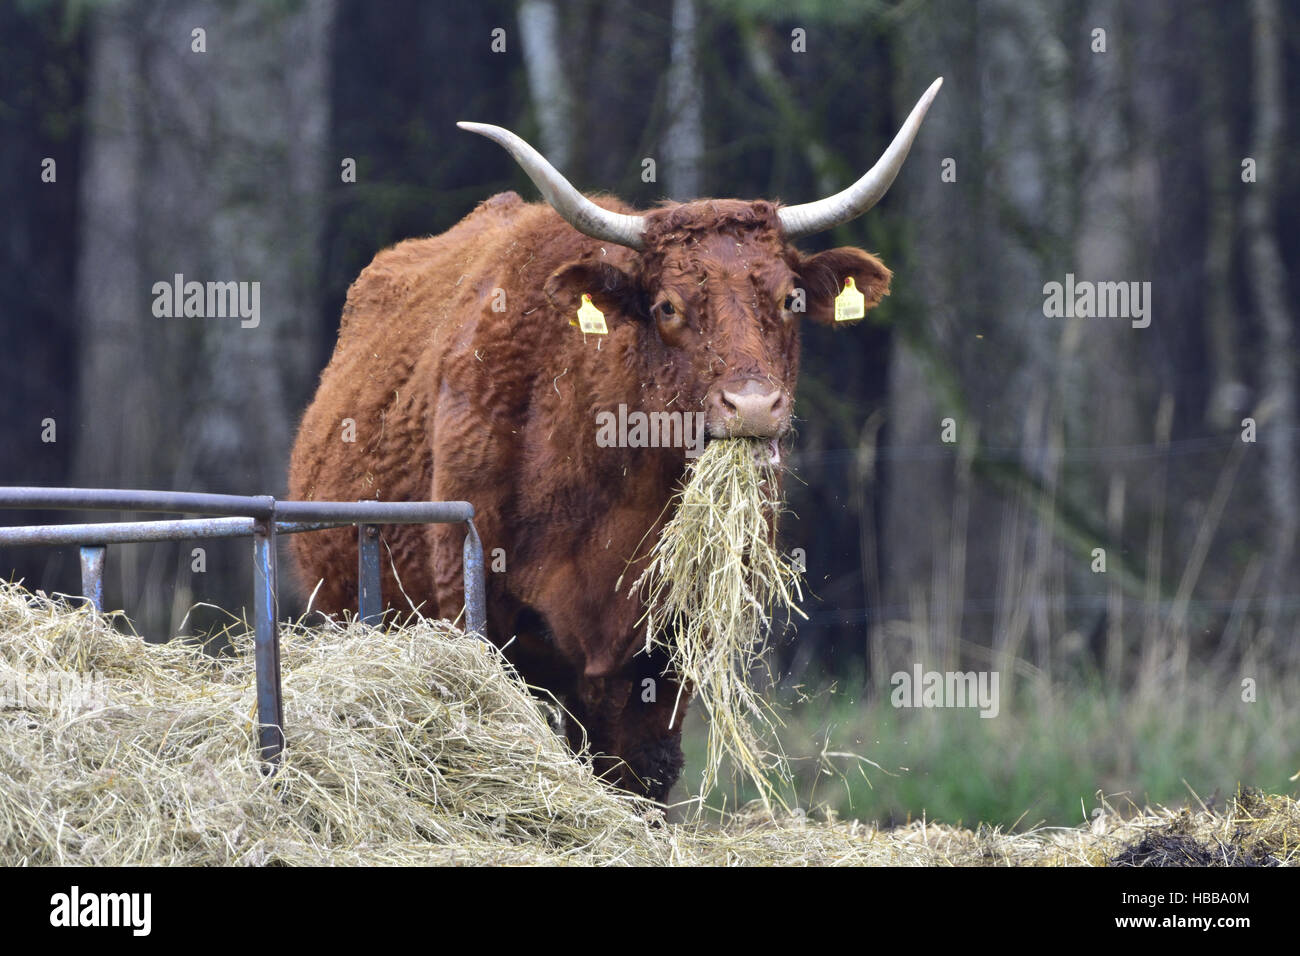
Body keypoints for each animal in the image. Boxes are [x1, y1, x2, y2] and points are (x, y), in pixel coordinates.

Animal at [288, 79, 942, 801]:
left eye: (789, 299)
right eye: (668, 306)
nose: (753, 406)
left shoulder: (669, 650)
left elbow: (642, 772)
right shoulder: (482, 614)